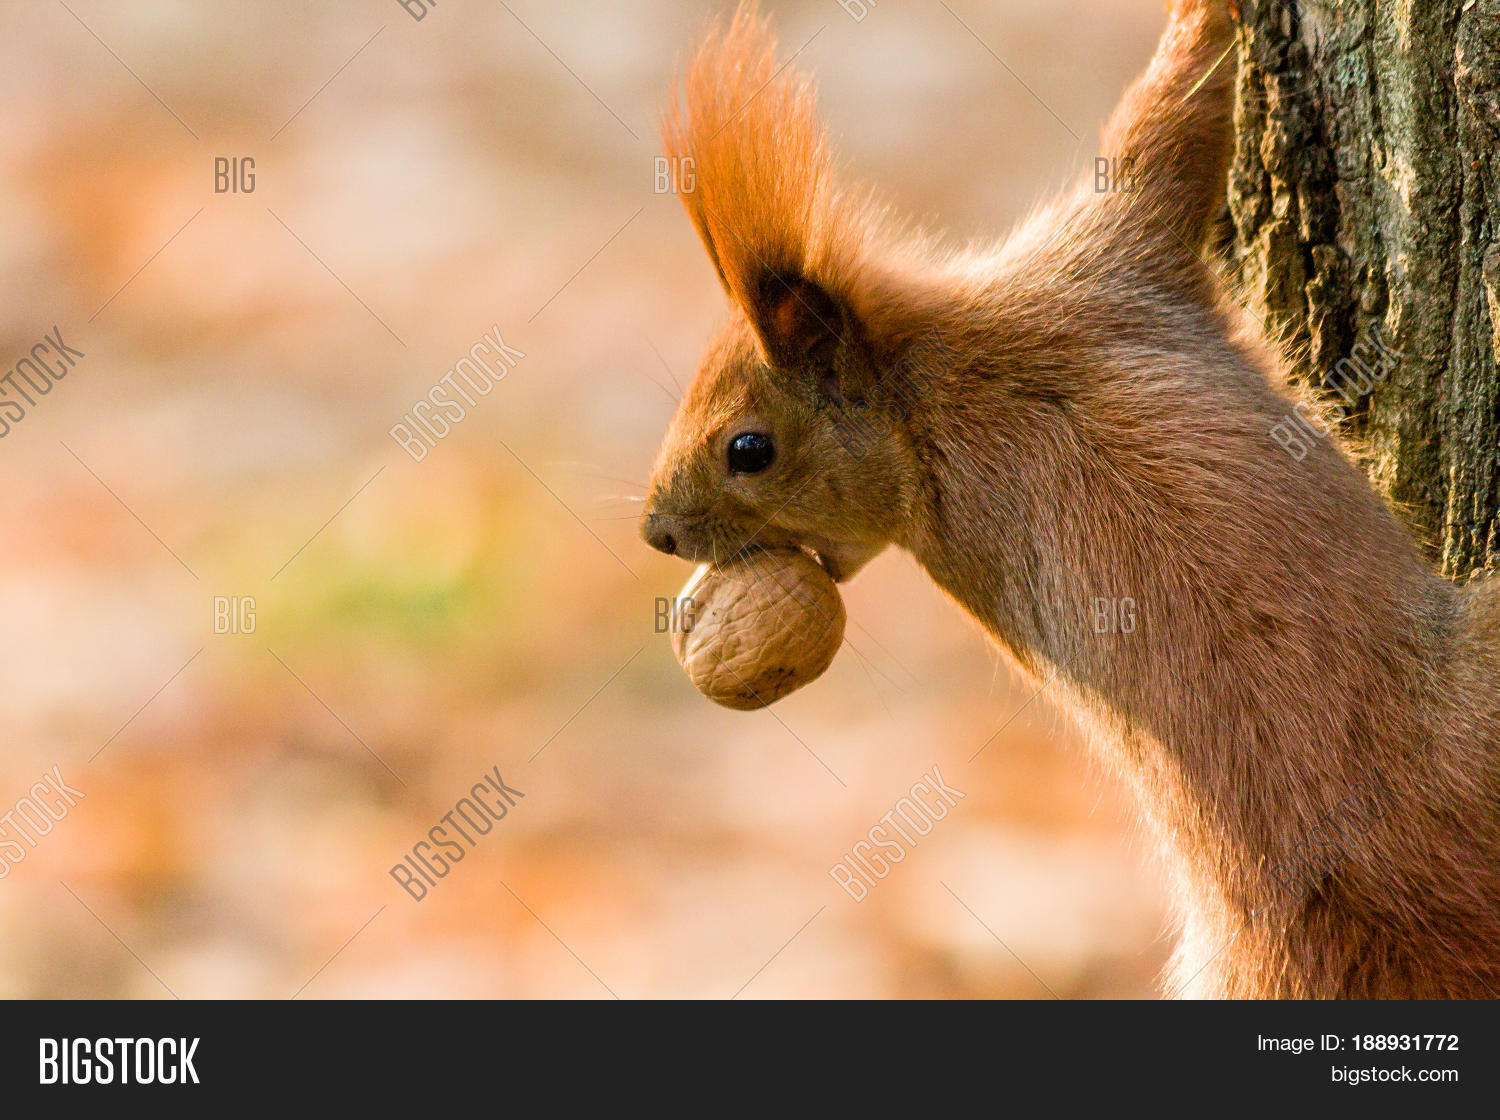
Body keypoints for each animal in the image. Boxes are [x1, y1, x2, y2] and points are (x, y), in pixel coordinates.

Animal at [640, 0, 1500, 998]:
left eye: (749, 449)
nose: (657, 533)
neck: (929, 409)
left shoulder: (1085, 277)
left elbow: (1167, 134)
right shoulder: (1100, 269)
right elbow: (1167, 131)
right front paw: (1208, 17)